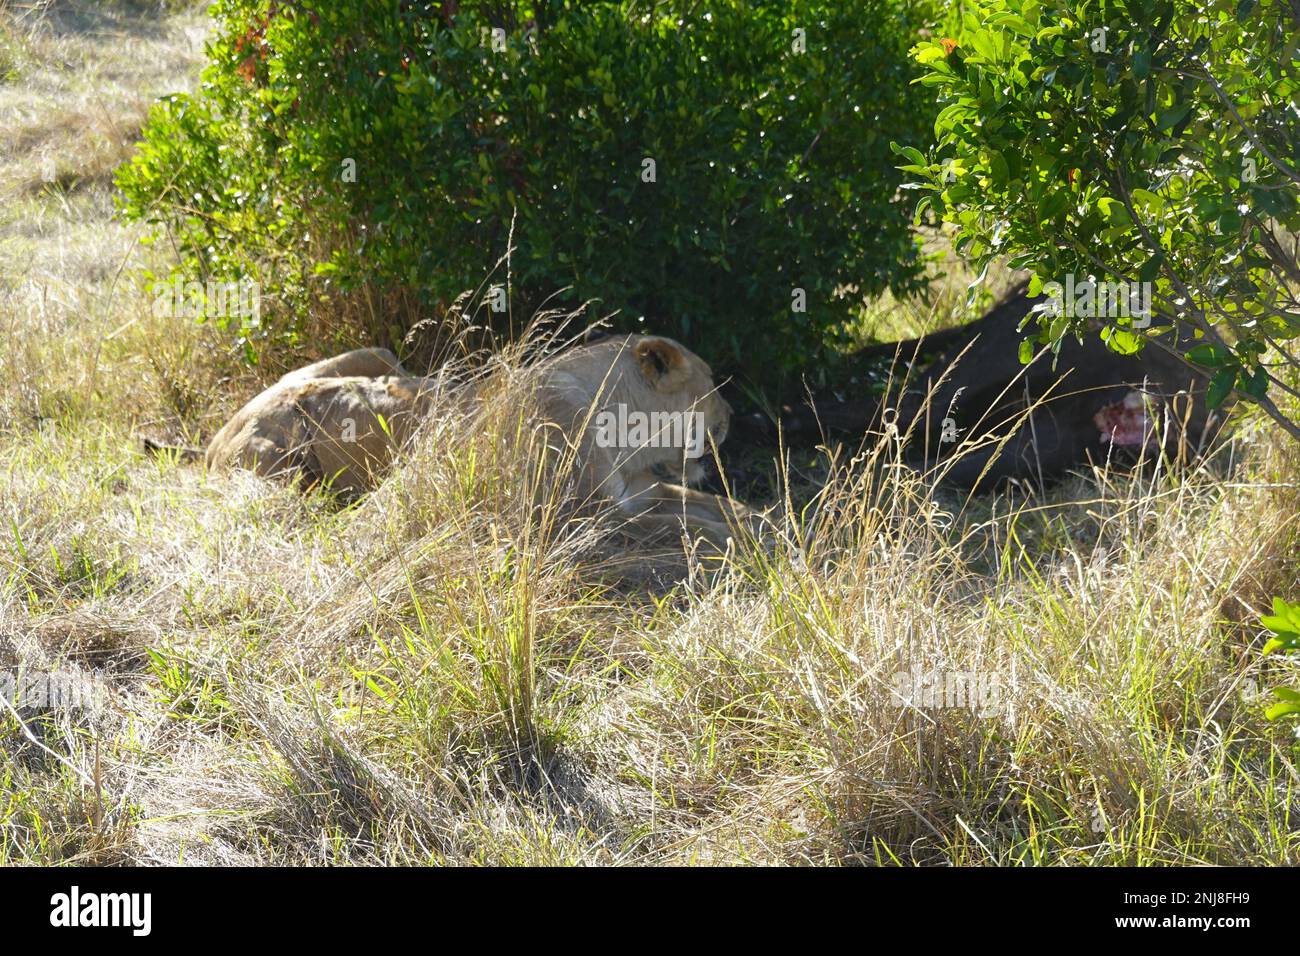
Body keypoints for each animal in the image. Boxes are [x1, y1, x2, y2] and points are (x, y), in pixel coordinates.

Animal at [146, 335, 756, 547]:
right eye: (712, 382)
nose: (734, 416)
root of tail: (215, 436)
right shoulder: (579, 515)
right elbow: (687, 524)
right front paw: (745, 546)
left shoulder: (636, 492)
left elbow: (715, 504)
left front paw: (759, 523)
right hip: (283, 463)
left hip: (378, 355)